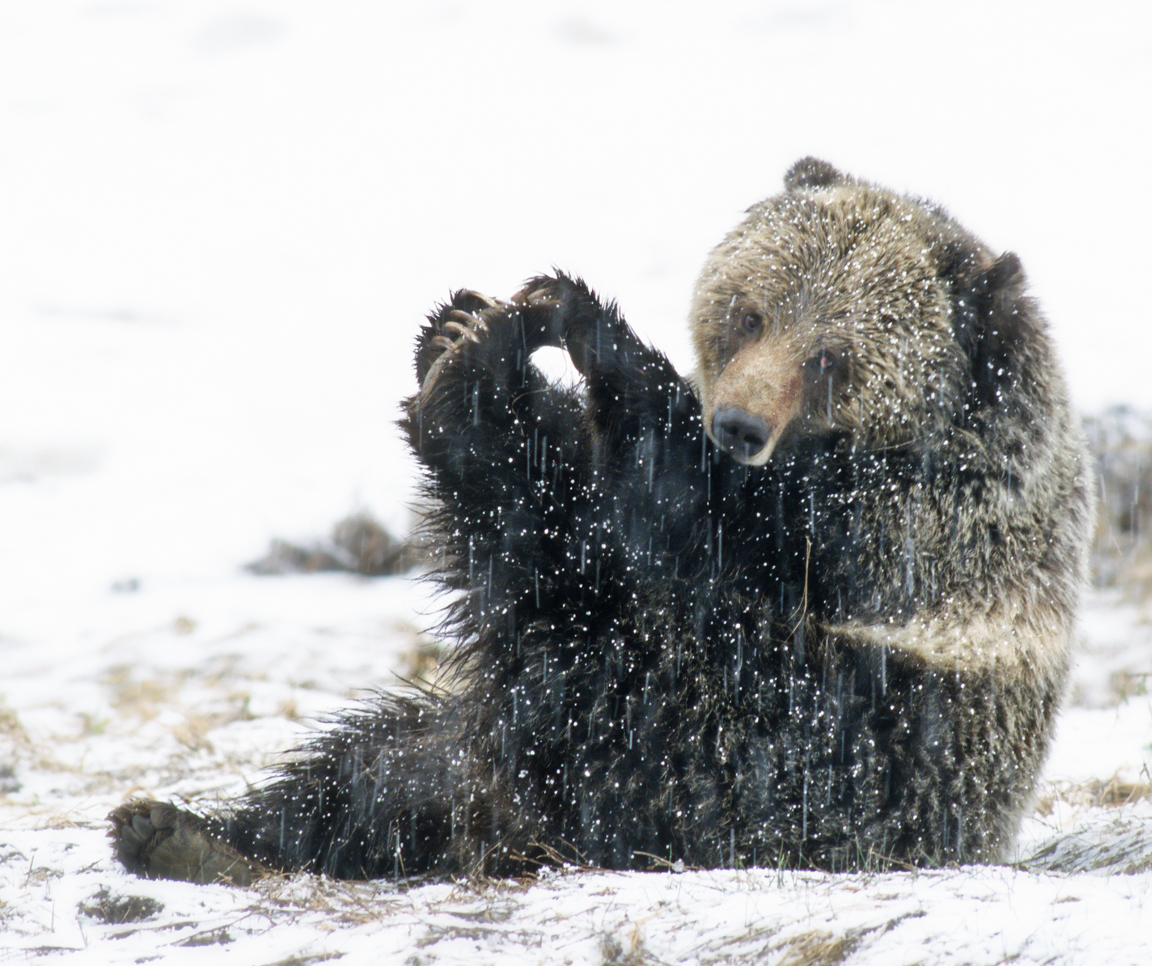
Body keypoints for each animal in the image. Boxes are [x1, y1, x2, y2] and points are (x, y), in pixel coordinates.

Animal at [109, 158, 1093, 884]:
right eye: (749, 311)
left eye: (832, 357)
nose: (737, 423)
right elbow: (592, 481)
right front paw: (467, 320)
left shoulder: (905, 532)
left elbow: (688, 514)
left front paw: (565, 317)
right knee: (370, 770)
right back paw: (182, 833)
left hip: (796, 745)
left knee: (579, 656)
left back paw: (468, 399)